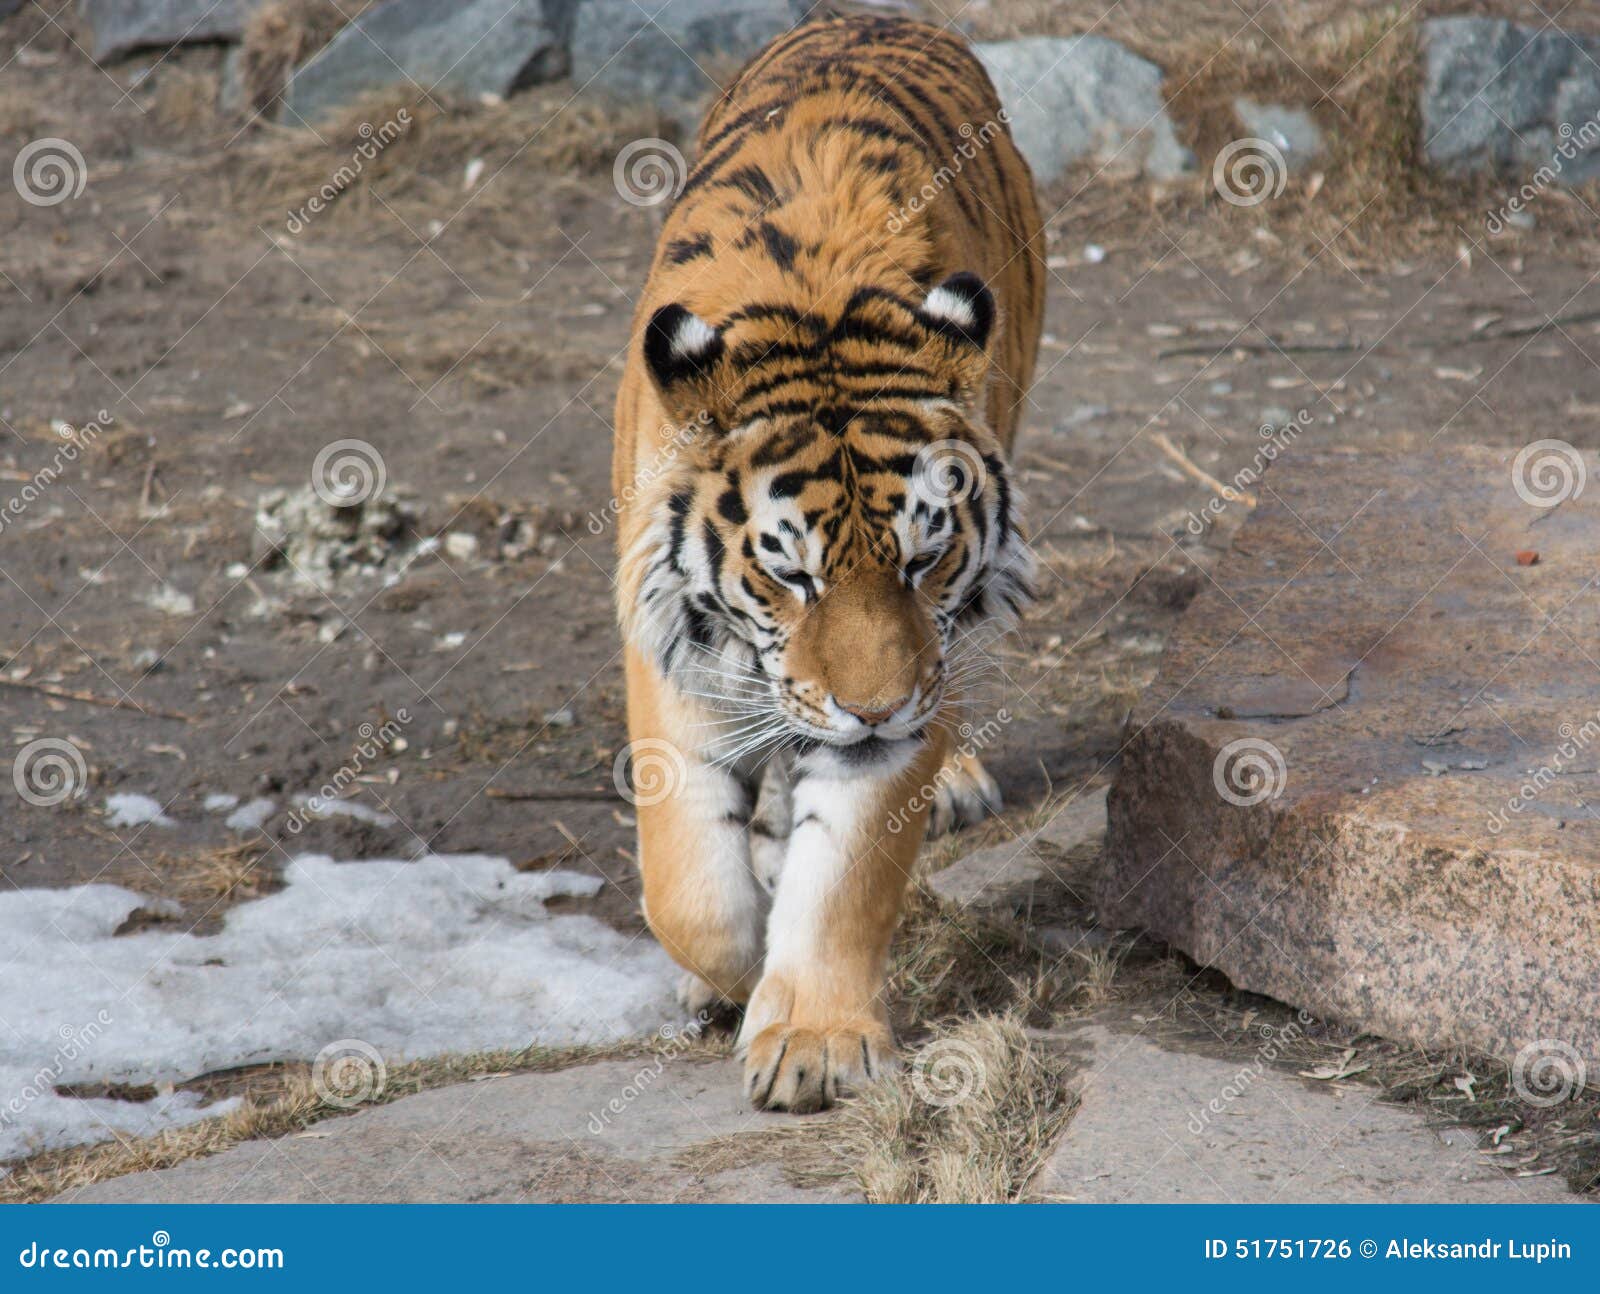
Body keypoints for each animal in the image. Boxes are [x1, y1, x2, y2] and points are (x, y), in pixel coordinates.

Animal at [611, 13, 1044, 1112]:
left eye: (925, 559)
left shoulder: (901, 705)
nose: (876, 708)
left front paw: (812, 1041)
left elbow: (845, 871)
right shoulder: (674, 646)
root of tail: (874, 14)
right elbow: (687, 887)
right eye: (792, 575)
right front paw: (725, 975)